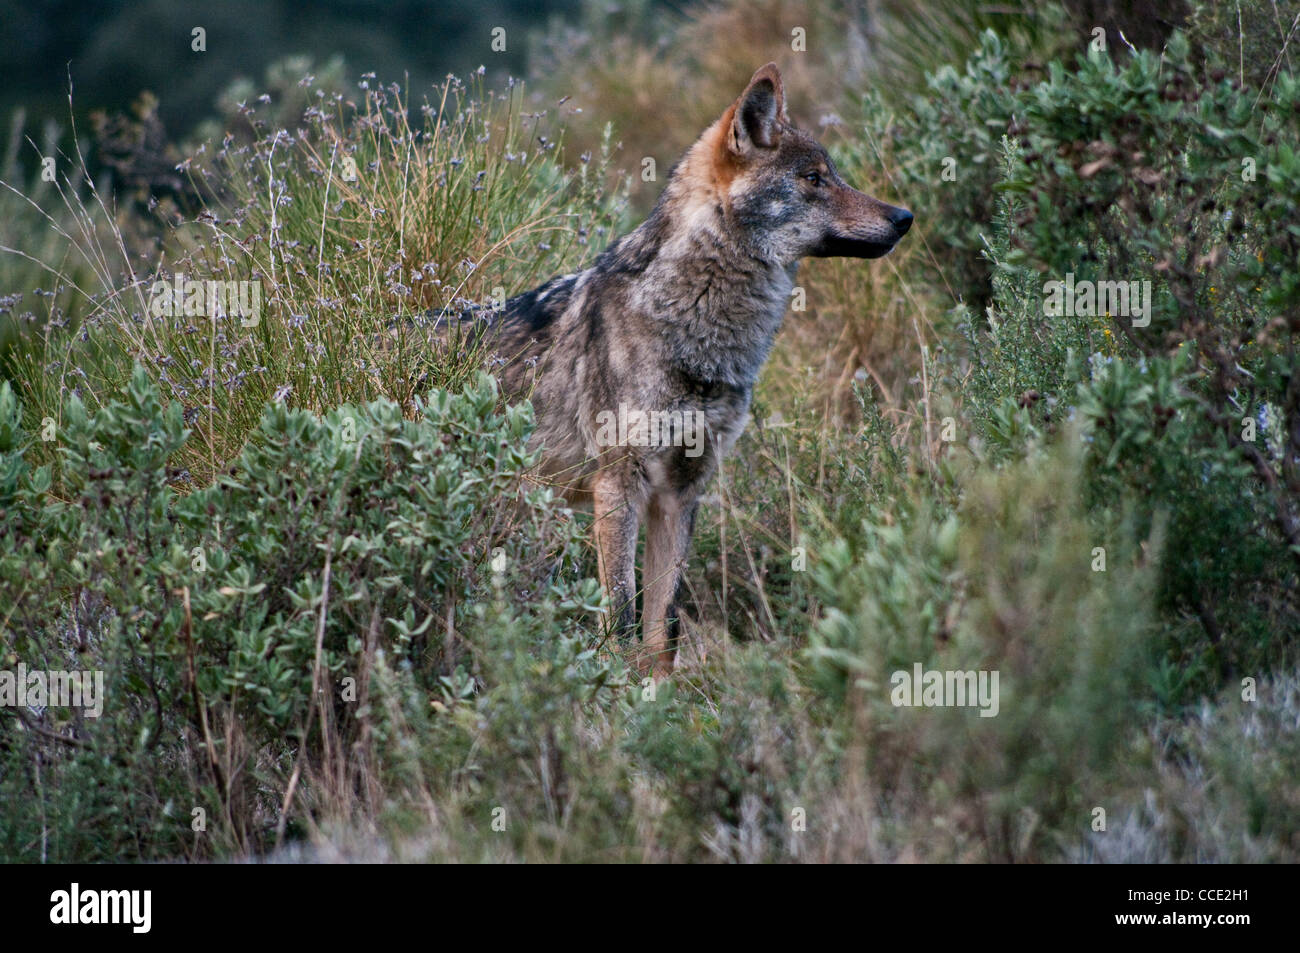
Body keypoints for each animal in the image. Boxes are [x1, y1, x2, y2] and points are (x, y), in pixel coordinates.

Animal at [472, 63, 912, 678]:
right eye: (814, 178)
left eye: (833, 175)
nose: (905, 217)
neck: (699, 331)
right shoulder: (618, 485)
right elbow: (622, 619)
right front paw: (616, 688)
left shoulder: (682, 492)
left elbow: (663, 629)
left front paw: (657, 697)